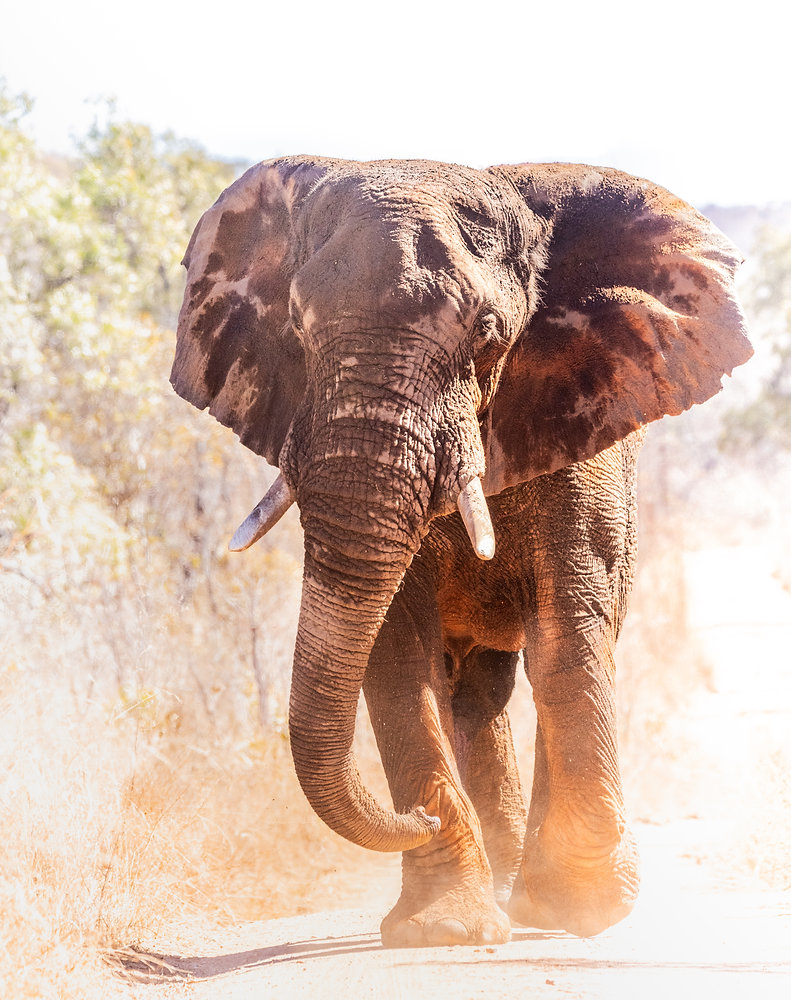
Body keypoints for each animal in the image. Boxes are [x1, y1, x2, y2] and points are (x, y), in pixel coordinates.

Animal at [171, 156, 751, 946]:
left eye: (484, 334)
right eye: (296, 327)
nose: (418, 816)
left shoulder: (585, 419)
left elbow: (568, 629)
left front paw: (580, 907)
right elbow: (395, 648)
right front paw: (444, 928)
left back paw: (529, 894)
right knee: (472, 688)